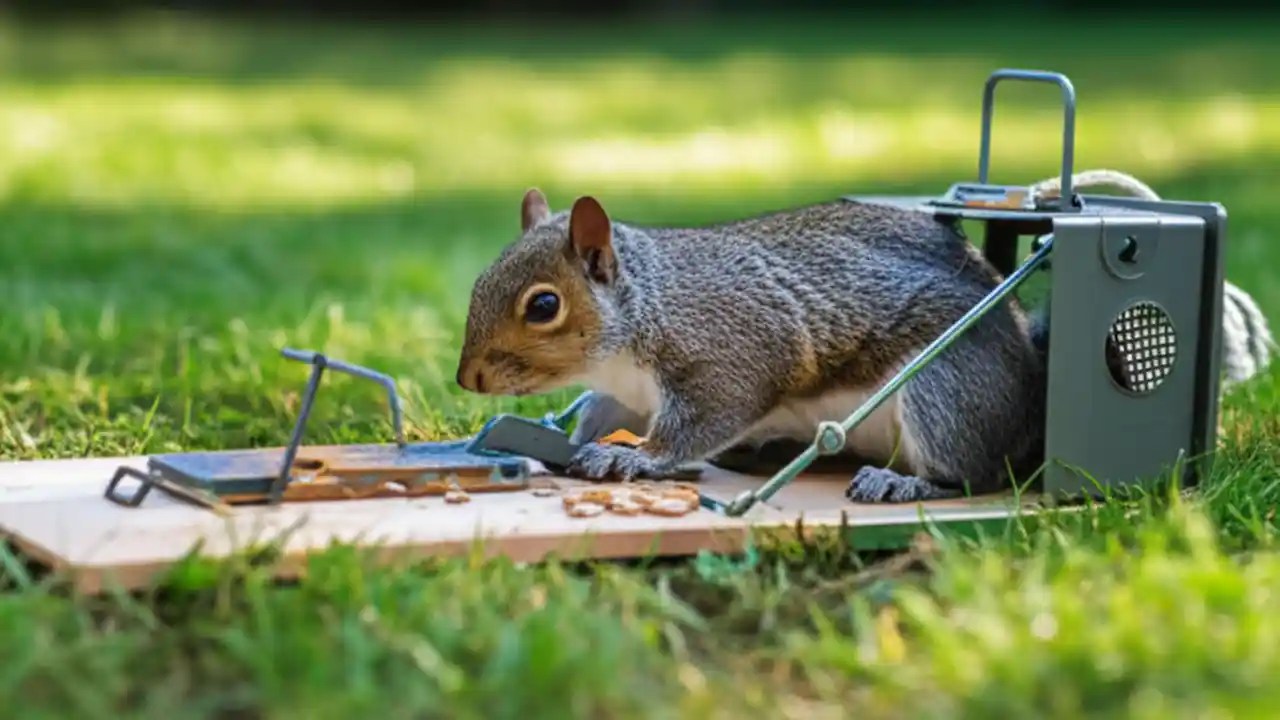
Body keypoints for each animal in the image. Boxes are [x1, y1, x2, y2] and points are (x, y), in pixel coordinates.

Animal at [455, 187, 1046, 503]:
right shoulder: (626, 397)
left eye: (543, 306)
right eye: (480, 278)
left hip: (947, 385)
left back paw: (906, 485)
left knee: (972, 471)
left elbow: (708, 417)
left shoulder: (731, 352)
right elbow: (600, 417)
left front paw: (638, 457)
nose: (467, 379)